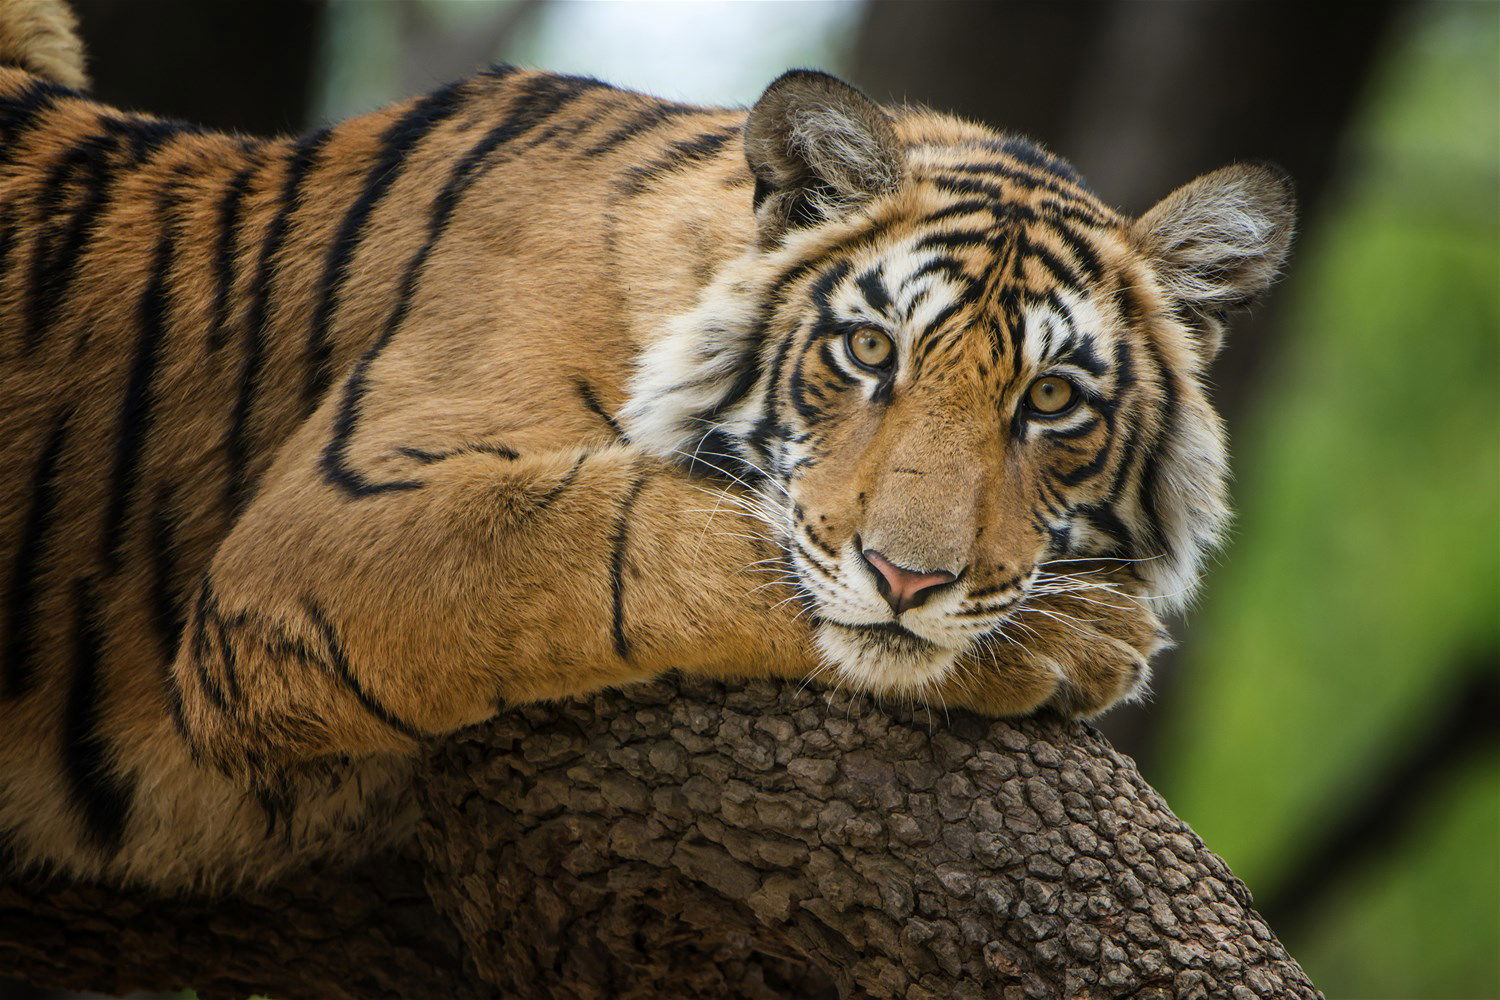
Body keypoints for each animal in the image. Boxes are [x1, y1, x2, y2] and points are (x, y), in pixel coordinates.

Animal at [0, 0, 1294, 891]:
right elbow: (639, 536)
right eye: (869, 349)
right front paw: (1078, 637)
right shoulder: (322, 533)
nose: (910, 577)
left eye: (1052, 401)